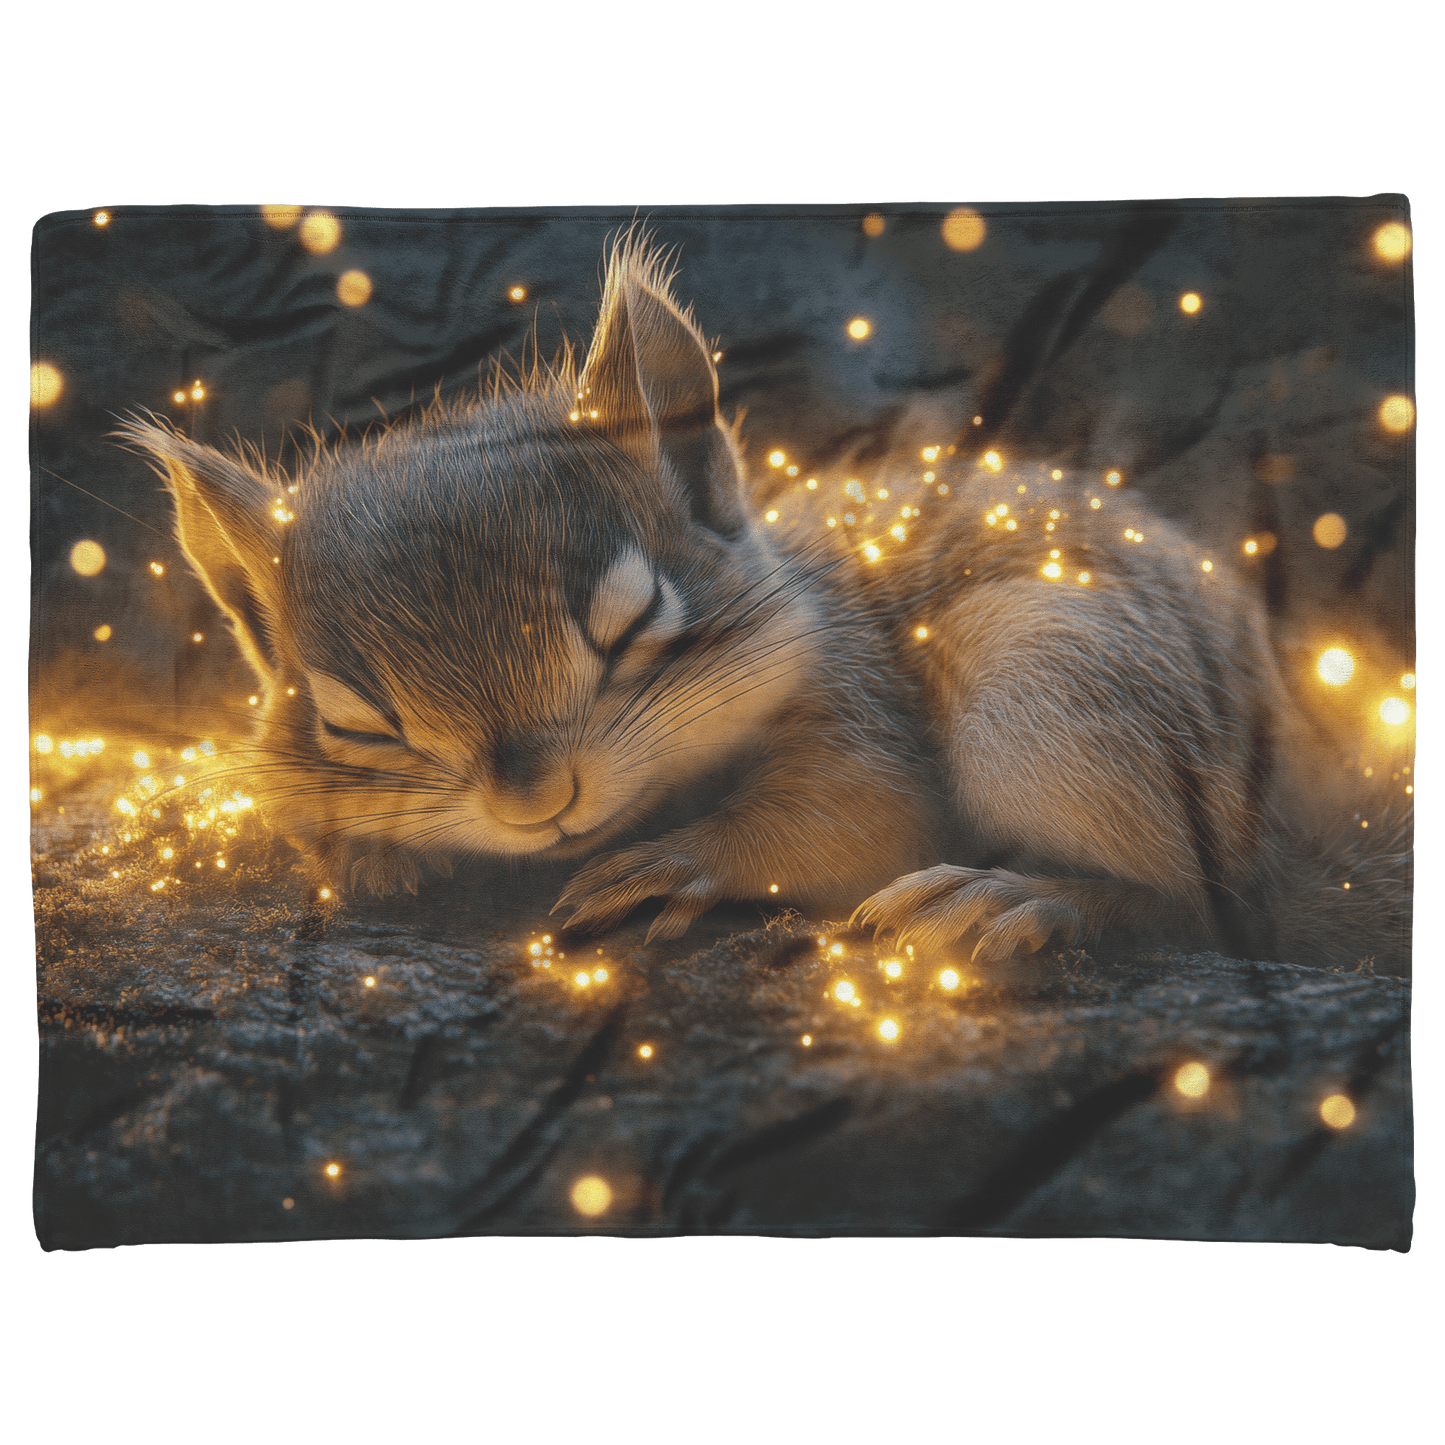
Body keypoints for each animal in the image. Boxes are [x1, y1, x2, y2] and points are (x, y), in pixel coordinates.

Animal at [120, 232, 1412, 971]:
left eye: (632, 627)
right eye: (355, 721)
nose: (536, 799)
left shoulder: (852, 692)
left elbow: (852, 815)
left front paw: (683, 857)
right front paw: (369, 856)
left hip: (1052, 683)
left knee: (1224, 903)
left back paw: (1017, 895)